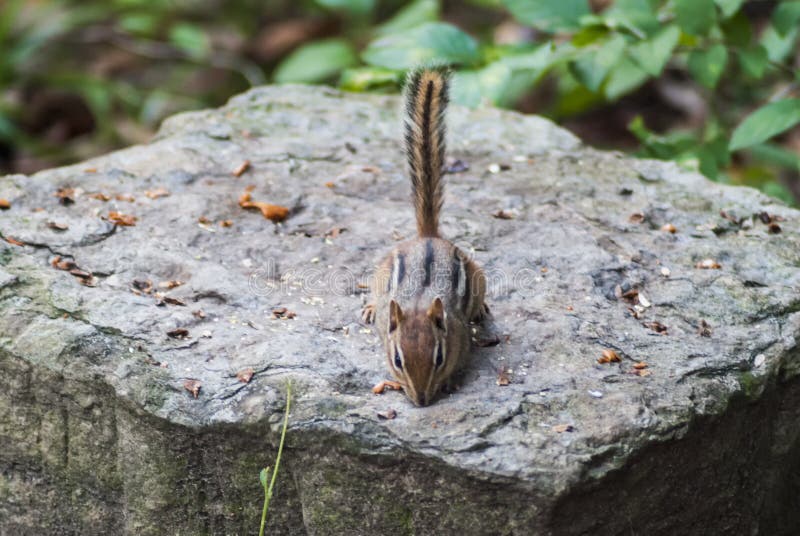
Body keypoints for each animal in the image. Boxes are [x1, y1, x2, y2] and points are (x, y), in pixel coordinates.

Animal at [362, 67, 488, 407]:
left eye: (439, 358)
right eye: (397, 360)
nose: (421, 401)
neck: (419, 303)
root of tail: (428, 235)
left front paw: (450, 382)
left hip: (478, 275)